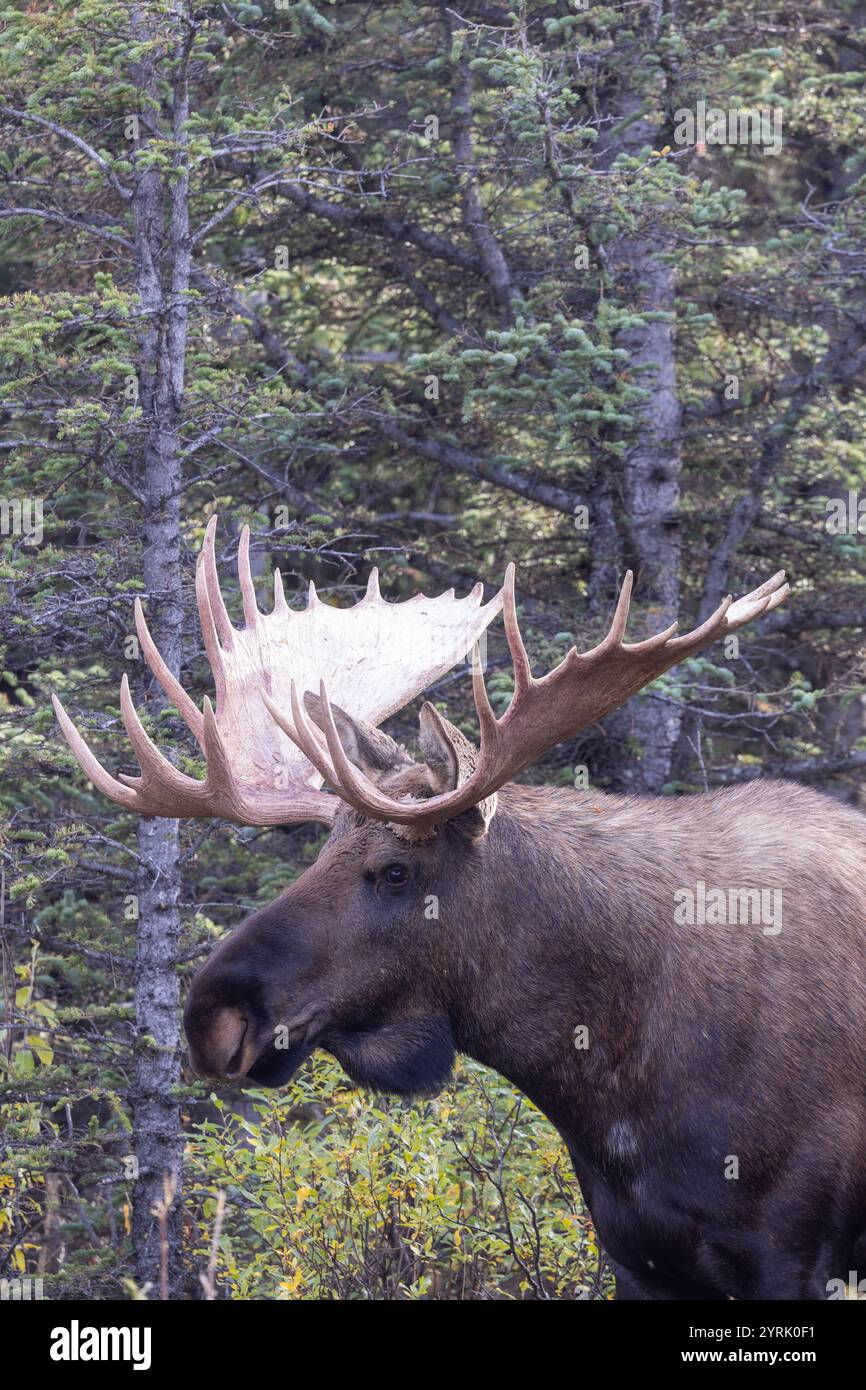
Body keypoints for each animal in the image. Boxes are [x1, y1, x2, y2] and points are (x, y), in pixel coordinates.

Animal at [54, 518, 866, 1301]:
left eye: (395, 871)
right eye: (319, 854)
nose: (212, 1016)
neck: (612, 1088)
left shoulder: (785, 1253)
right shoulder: (638, 1258)